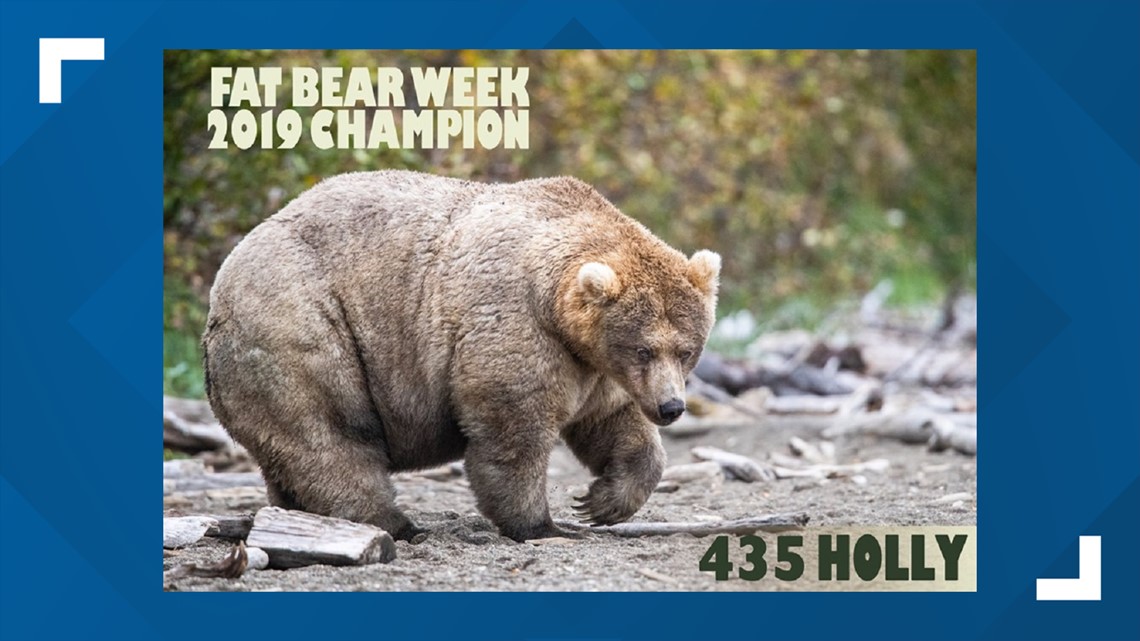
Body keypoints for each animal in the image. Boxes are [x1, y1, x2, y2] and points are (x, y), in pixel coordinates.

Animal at [202, 170, 720, 542]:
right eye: (644, 348)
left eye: (686, 349)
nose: (671, 407)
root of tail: (222, 283)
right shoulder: (516, 325)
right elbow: (513, 430)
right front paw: (542, 524)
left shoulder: (594, 367)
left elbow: (613, 423)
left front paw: (601, 502)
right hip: (302, 326)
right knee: (330, 433)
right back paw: (395, 523)